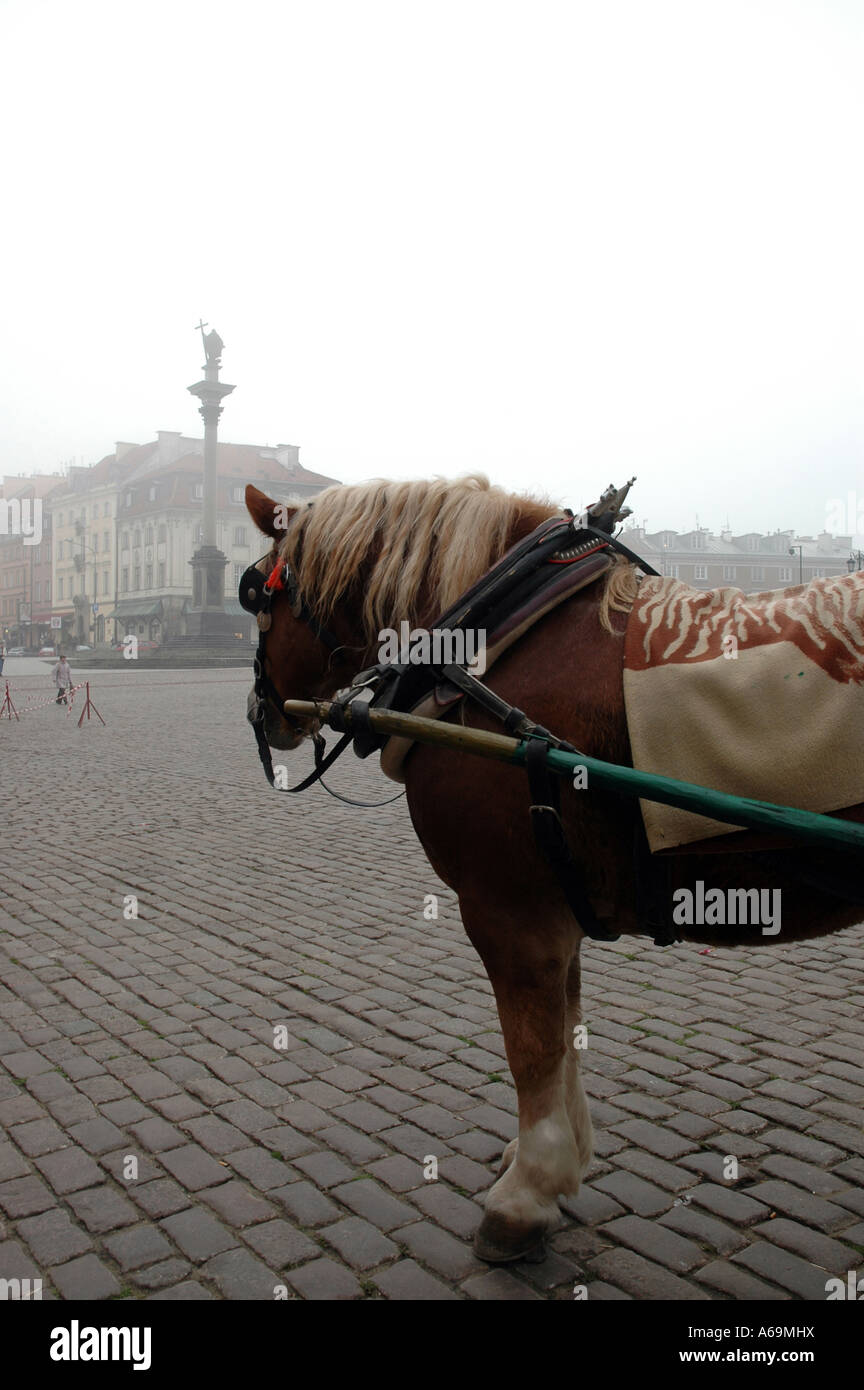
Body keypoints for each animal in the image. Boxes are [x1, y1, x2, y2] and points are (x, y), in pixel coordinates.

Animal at [242, 474, 864, 1263]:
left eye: (252, 591)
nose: (261, 711)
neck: (493, 648)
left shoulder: (509, 910)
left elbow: (531, 1046)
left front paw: (526, 1192)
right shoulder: (555, 906)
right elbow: (565, 1031)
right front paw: (564, 1157)